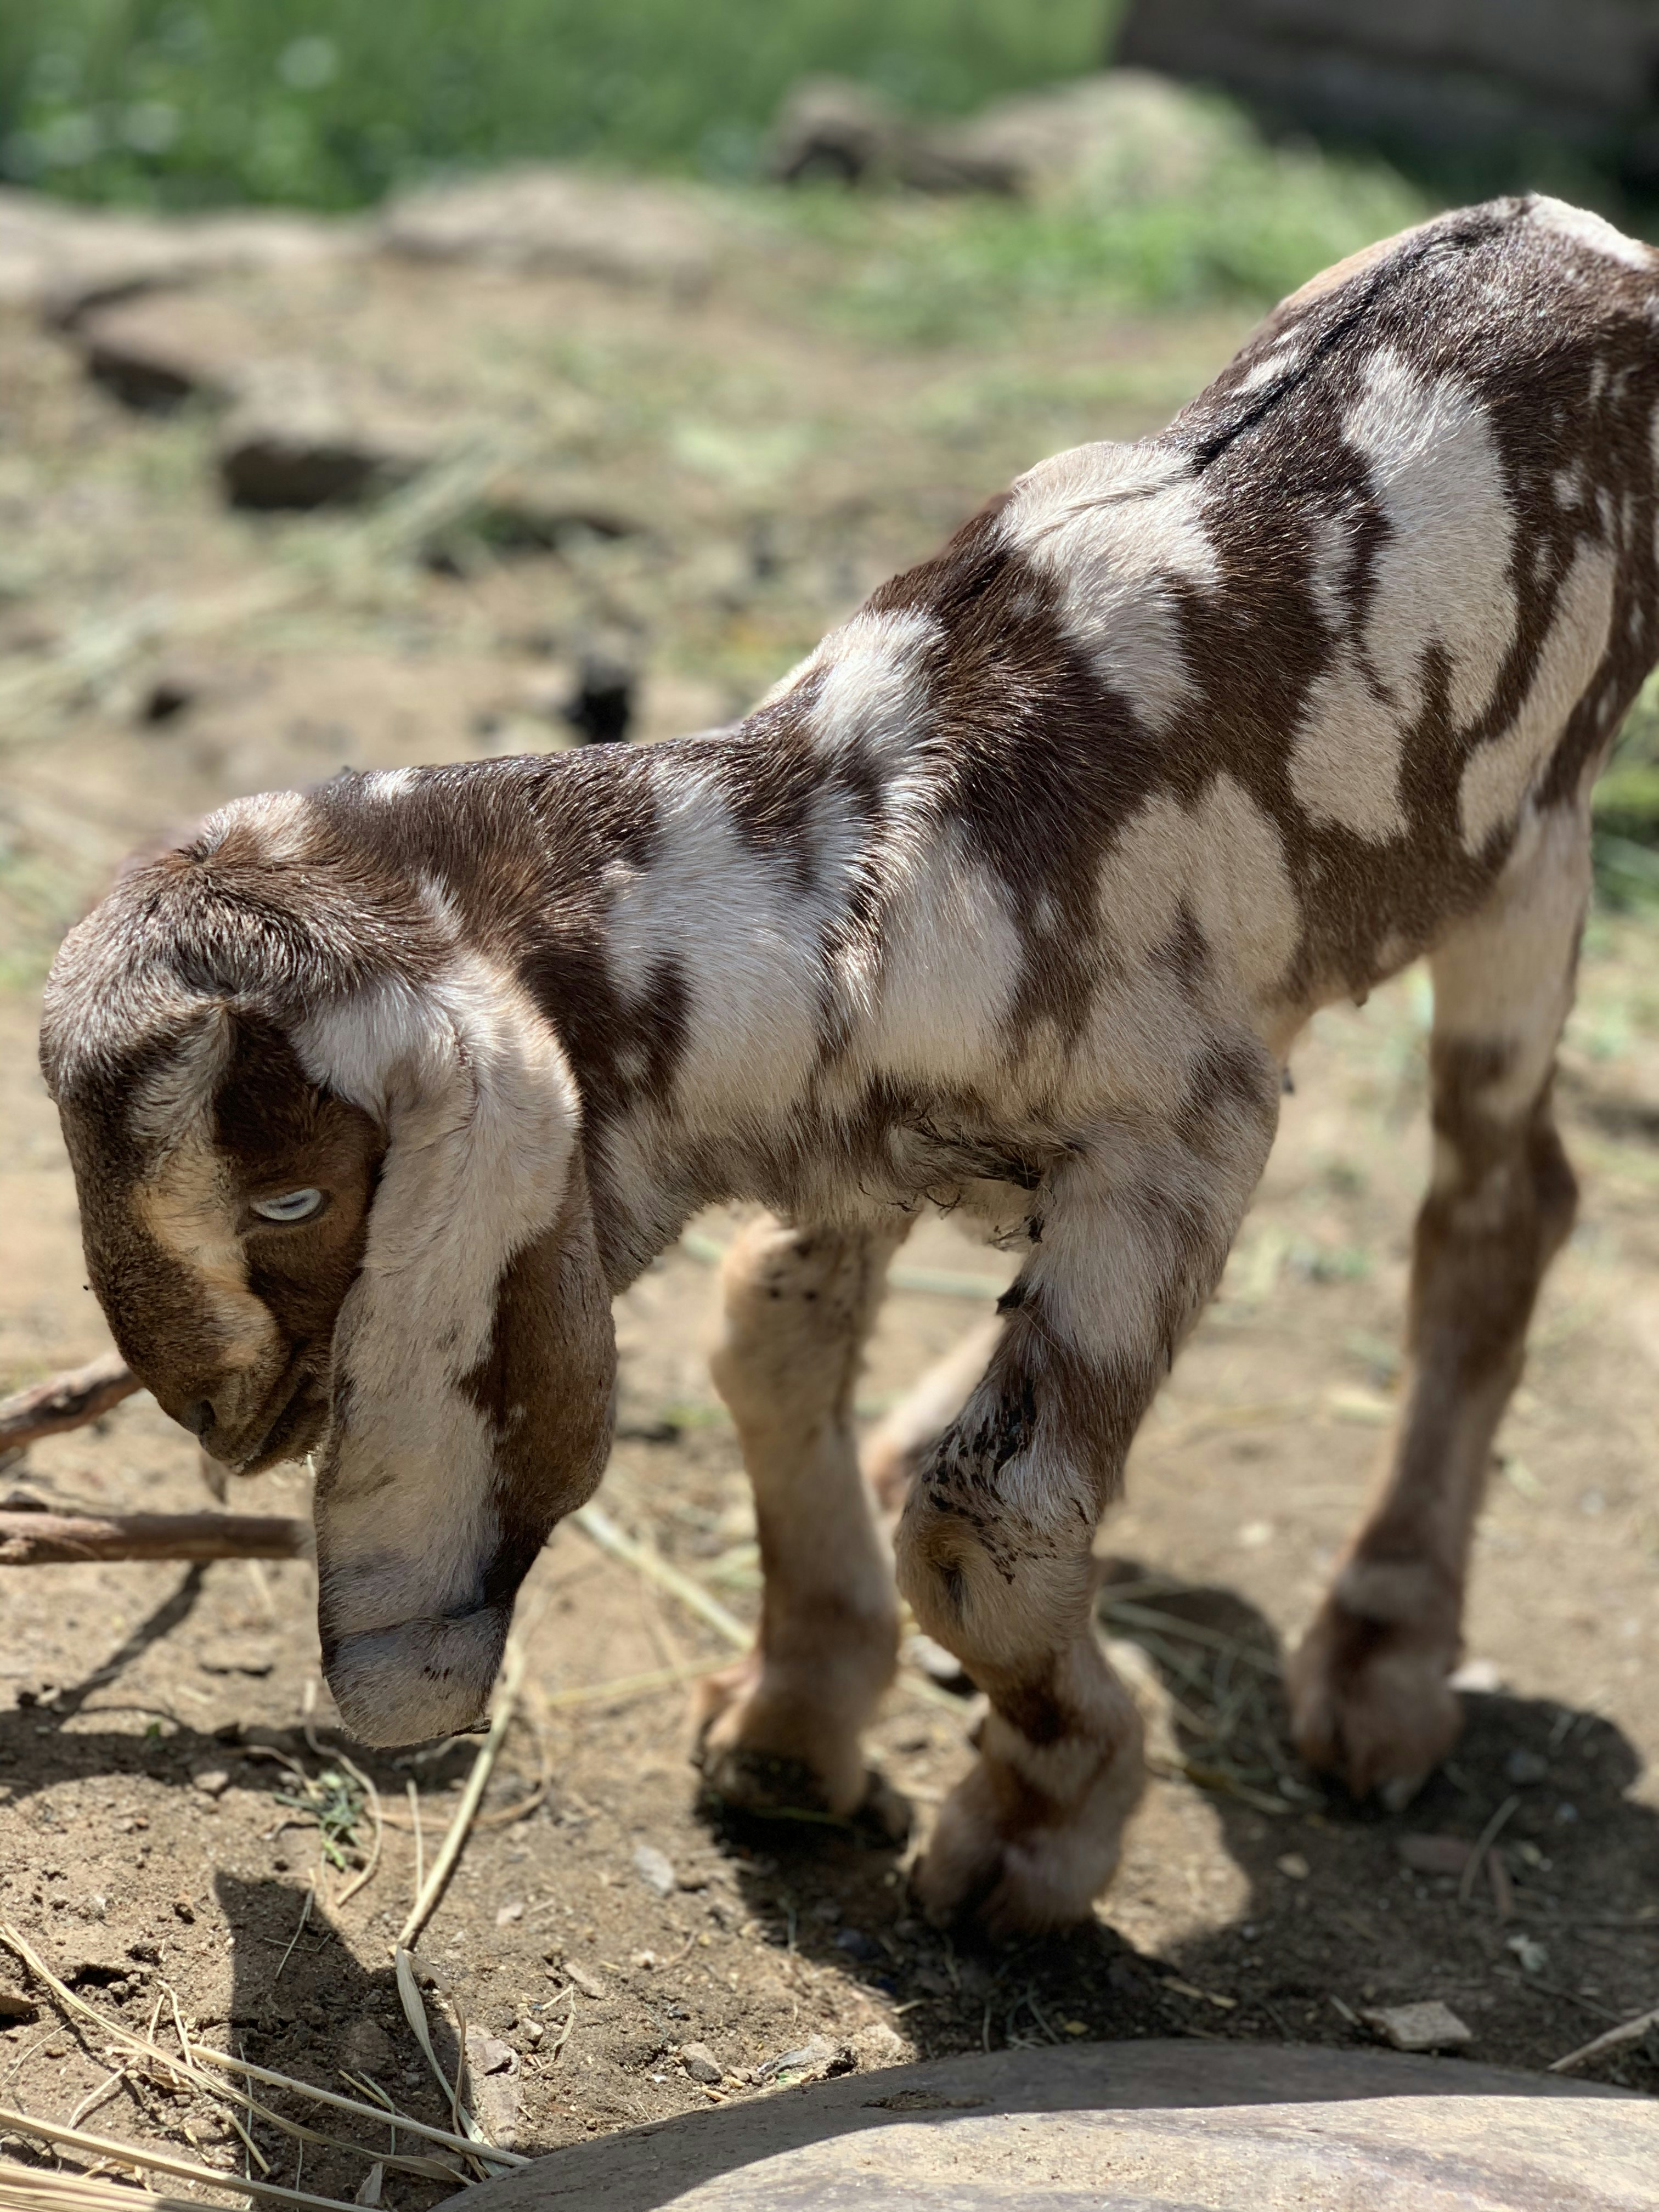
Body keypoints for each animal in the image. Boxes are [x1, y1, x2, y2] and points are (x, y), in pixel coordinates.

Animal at [39, 195, 1659, 1934]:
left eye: (292, 1196)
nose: (215, 1415)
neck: (865, 836)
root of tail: (1588, 233)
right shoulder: (854, 1128)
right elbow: (768, 1338)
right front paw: (792, 1720)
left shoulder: (1184, 1134)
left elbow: (991, 1522)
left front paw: (1034, 1838)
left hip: (1529, 858)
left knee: (1503, 1206)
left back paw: (1382, 1658)